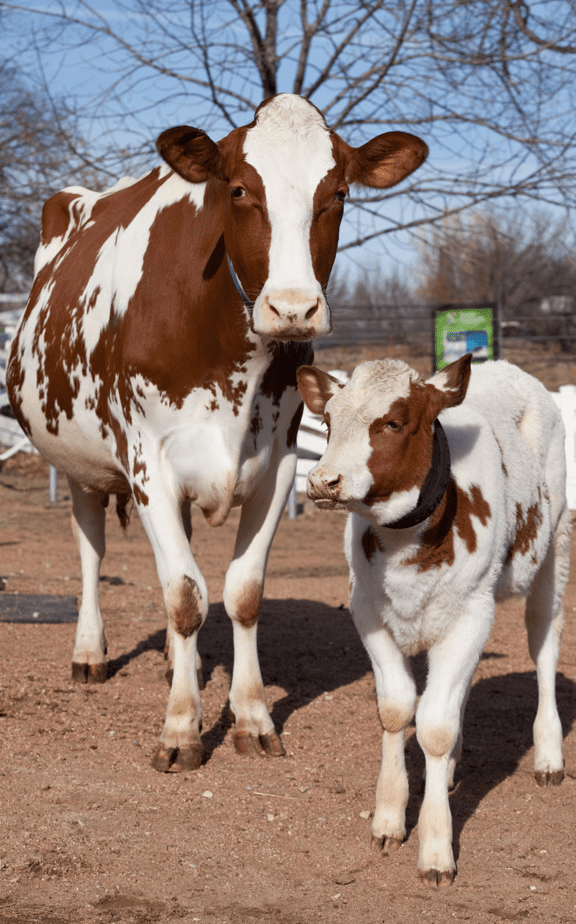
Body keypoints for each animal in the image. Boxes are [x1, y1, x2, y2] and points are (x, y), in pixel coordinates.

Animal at [7, 94, 428, 773]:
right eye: (238, 189)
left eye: (338, 193)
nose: (293, 308)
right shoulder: (149, 466)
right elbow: (183, 596)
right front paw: (181, 728)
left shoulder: (279, 463)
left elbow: (241, 593)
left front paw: (251, 716)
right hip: (78, 462)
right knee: (92, 547)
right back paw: (90, 652)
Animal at [296, 354, 570, 886]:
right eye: (328, 421)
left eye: (393, 422)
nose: (322, 481)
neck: (408, 544)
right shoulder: (367, 610)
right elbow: (398, 710)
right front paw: (388, 816)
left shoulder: (471, 612)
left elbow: (435, 728)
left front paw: (437, 846)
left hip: (554, 548)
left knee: (544, 647)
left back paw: (548, 754)